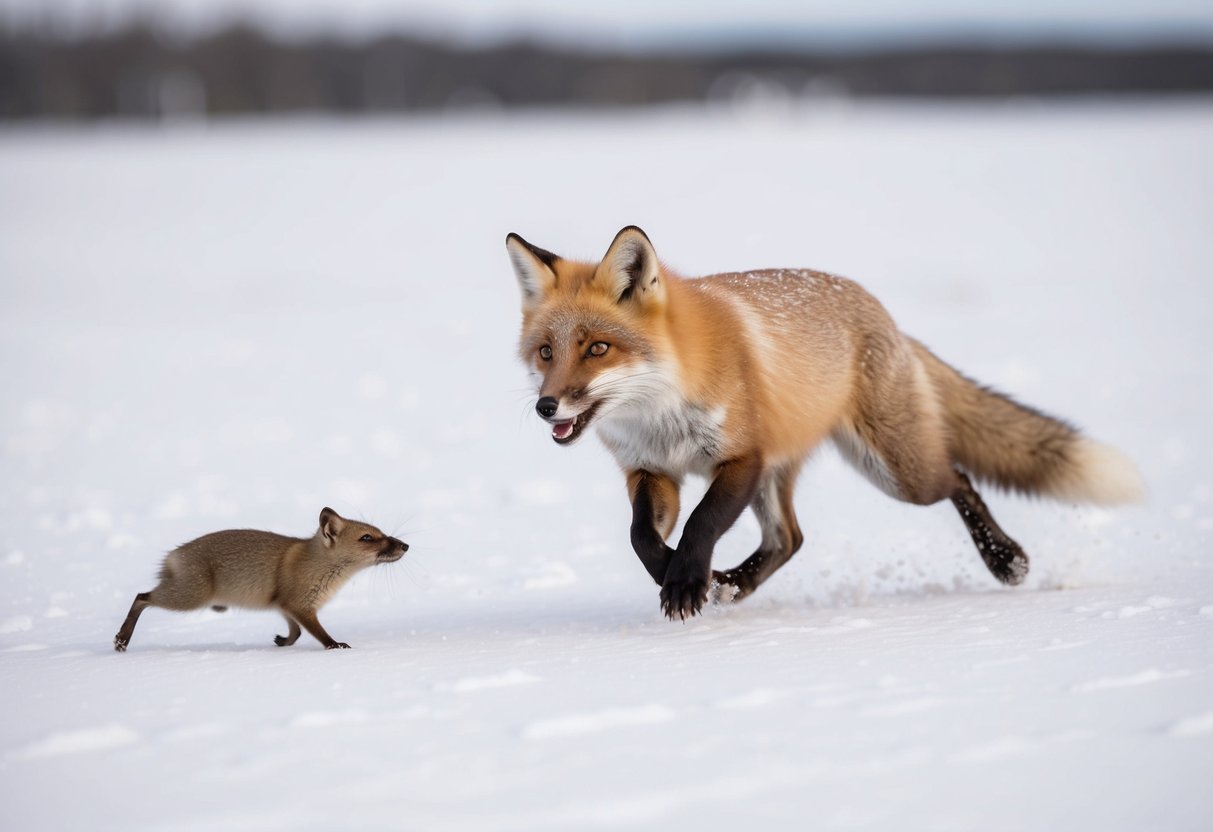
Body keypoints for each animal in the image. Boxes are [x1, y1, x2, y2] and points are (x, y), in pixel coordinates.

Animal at [506, 225, 1143, 621]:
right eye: (546, 352)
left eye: (597, 348)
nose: (547, 406)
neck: (659, 410)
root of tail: (883, 312)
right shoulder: (651, 470)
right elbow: (642, 537)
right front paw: (681, 576)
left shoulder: (742, 456)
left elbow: (703, 522)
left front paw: (688, 578)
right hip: (791, 476)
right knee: (788, 539)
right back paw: (734, 585)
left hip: (896, 472)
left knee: (958, 478)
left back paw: (1006, 560)